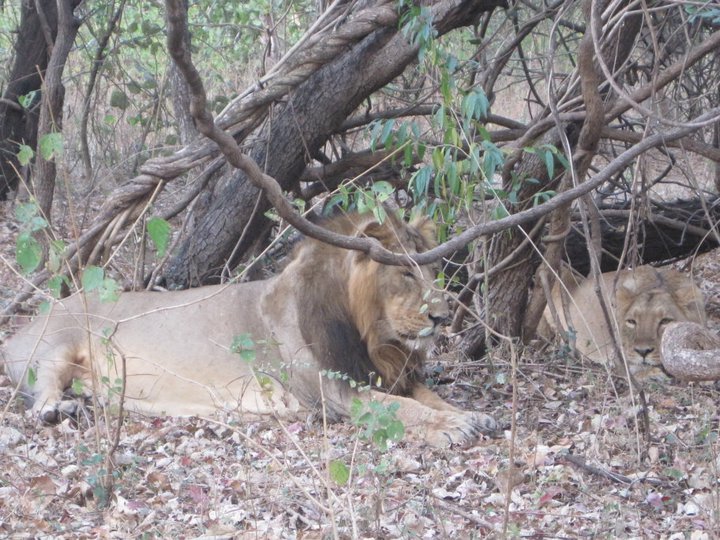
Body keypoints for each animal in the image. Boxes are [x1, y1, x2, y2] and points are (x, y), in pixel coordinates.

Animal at [2, 211, 496, 447]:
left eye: (432, 272)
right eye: (406, 274)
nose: (443, 317)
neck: (373, 337)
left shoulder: (387, 373)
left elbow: (427, 397)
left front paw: (471, 415)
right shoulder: (334, 391)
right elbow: (400, 408)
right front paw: (453, 427)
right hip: (55, 344)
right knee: (40, 388)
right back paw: (57, 409)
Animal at [541, 265, 707, 380]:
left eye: (665, 321)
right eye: (632, 322)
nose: (643, 352)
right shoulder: (616, 354)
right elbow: (629, 368)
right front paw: (652, 374)